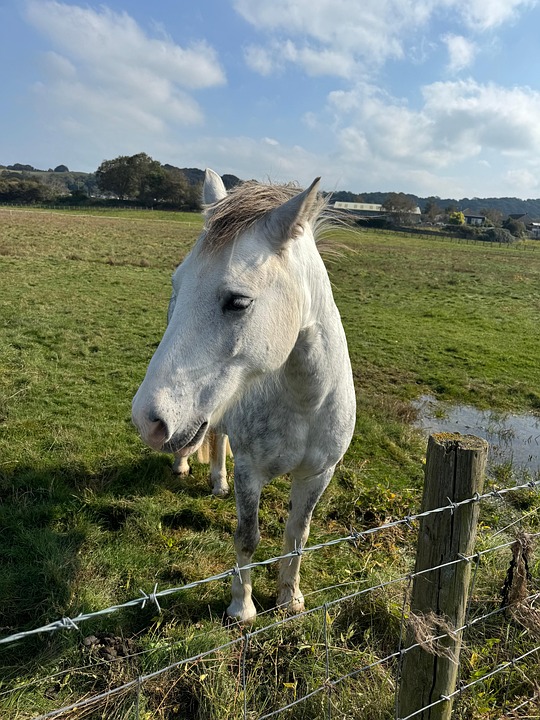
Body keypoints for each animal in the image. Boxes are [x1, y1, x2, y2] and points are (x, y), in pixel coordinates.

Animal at [132, 169, 356, 622]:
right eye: (178, 284)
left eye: (238, 301)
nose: (148, 421)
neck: (307, 402)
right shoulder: (250, 471)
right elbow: (247, 537)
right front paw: (242, 607)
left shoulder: (318, 474)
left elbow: (297, 536)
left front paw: (290, 598)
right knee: (210, 437)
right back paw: (188, 468)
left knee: (216, 435)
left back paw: (217, 481)